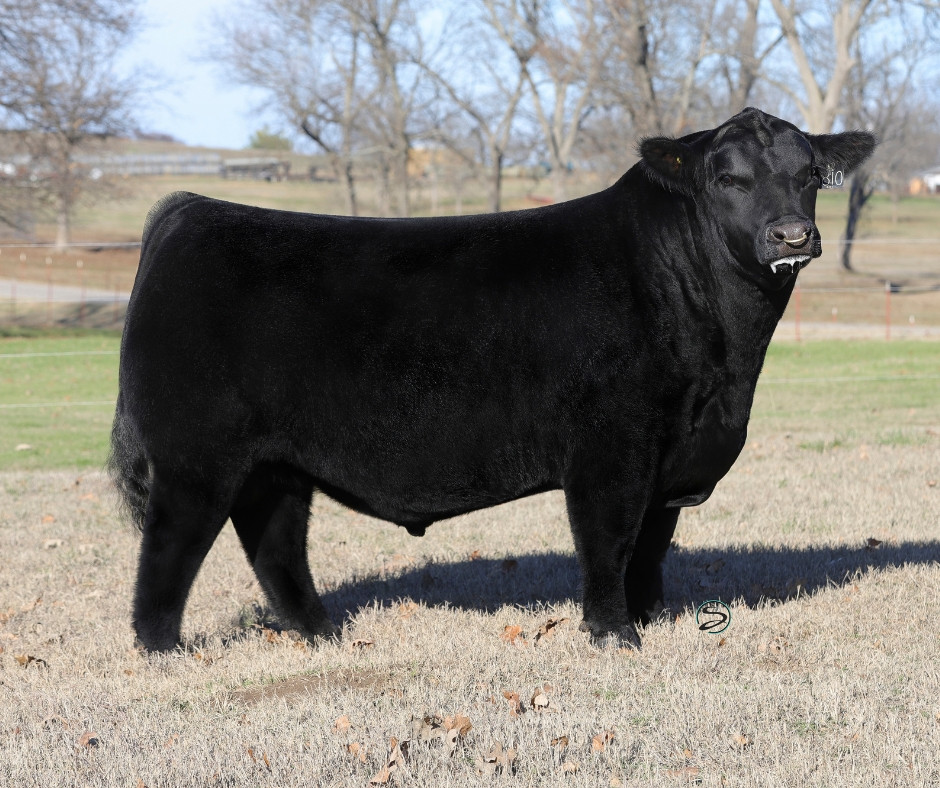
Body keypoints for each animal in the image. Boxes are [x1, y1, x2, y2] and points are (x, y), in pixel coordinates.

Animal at [109, 108, 875, 653]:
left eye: (809, 175)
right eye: (728, 179)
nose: (792, 236)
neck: (725, 373)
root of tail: (192, 209)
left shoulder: (674, 455)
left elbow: (652, 545)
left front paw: (653, 616)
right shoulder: (610, 447)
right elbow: (608, 539)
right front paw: (613, 634)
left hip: (275, 464)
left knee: (274, 541)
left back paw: (322, 633)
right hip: (195, 459)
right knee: (170, 547)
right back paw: (162, 648)